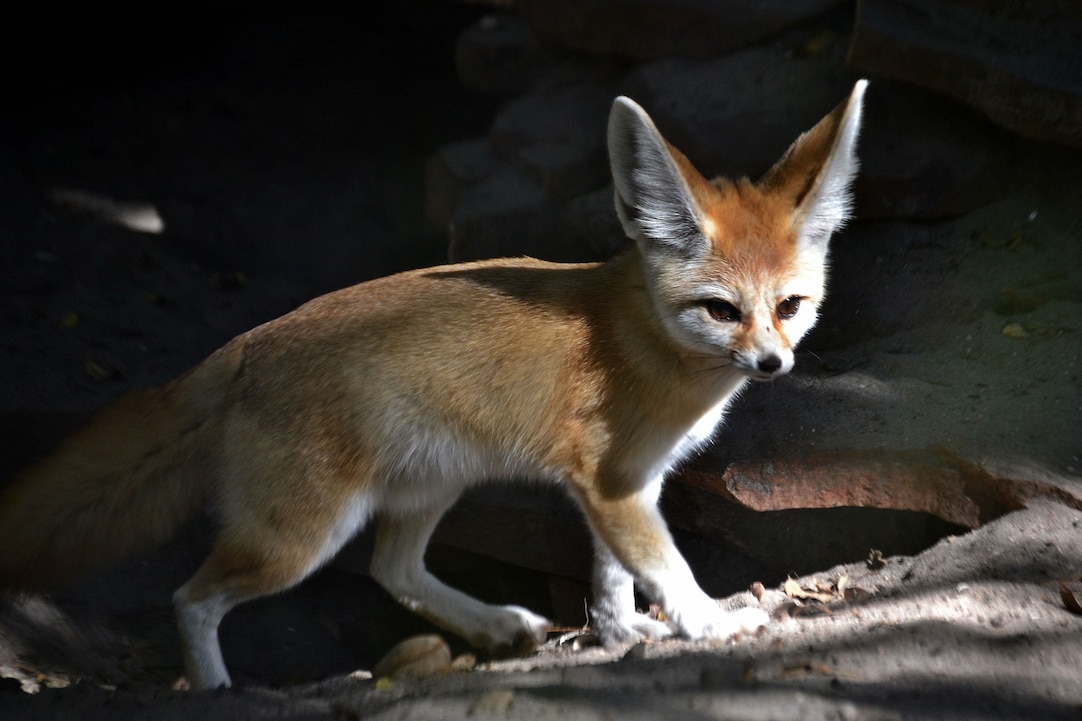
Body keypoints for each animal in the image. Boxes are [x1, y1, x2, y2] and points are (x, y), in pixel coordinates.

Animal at [0, 80, 866, 690]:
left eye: (790, 306)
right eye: (722, 310)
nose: (773, 364)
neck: (639, 337)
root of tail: (246, 342)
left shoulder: (624, 486)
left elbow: (613, 585)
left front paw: (626, 637)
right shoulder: (614, 487)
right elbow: (667, 569)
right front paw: (709, 624)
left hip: (429, 488)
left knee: (394, 571)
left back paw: (494, 626)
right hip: (298, 541)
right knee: (190, 597)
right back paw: (216, 689)